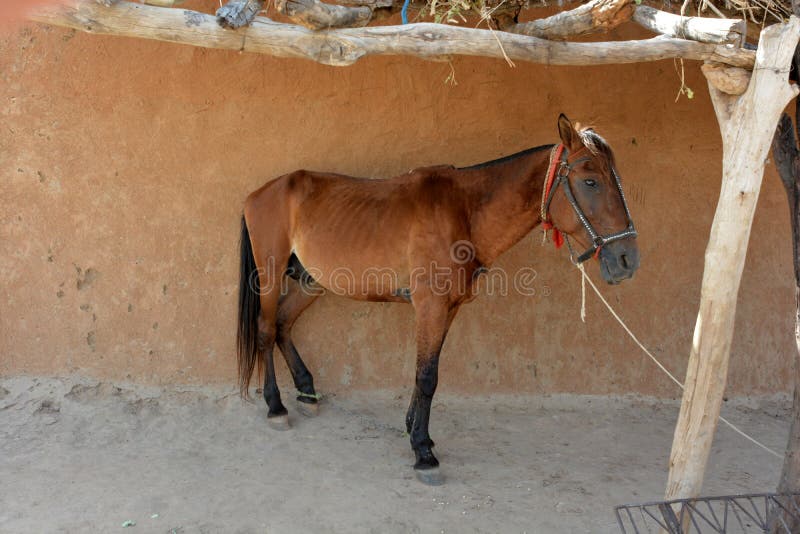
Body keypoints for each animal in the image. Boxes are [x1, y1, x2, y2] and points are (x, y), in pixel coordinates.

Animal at [236, 114, 639, 484]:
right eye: (590, 181)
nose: (627, 260)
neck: (463, 212)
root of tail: (260, 193)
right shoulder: (430, 306)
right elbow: (427, 376)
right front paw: (423, 452)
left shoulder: (449, 309)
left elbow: (426, 375)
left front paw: (416, 432)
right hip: (271, 276)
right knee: (266, 329)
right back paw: (276, 406)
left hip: (311, 281)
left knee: (284, 323)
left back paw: (306, 392)